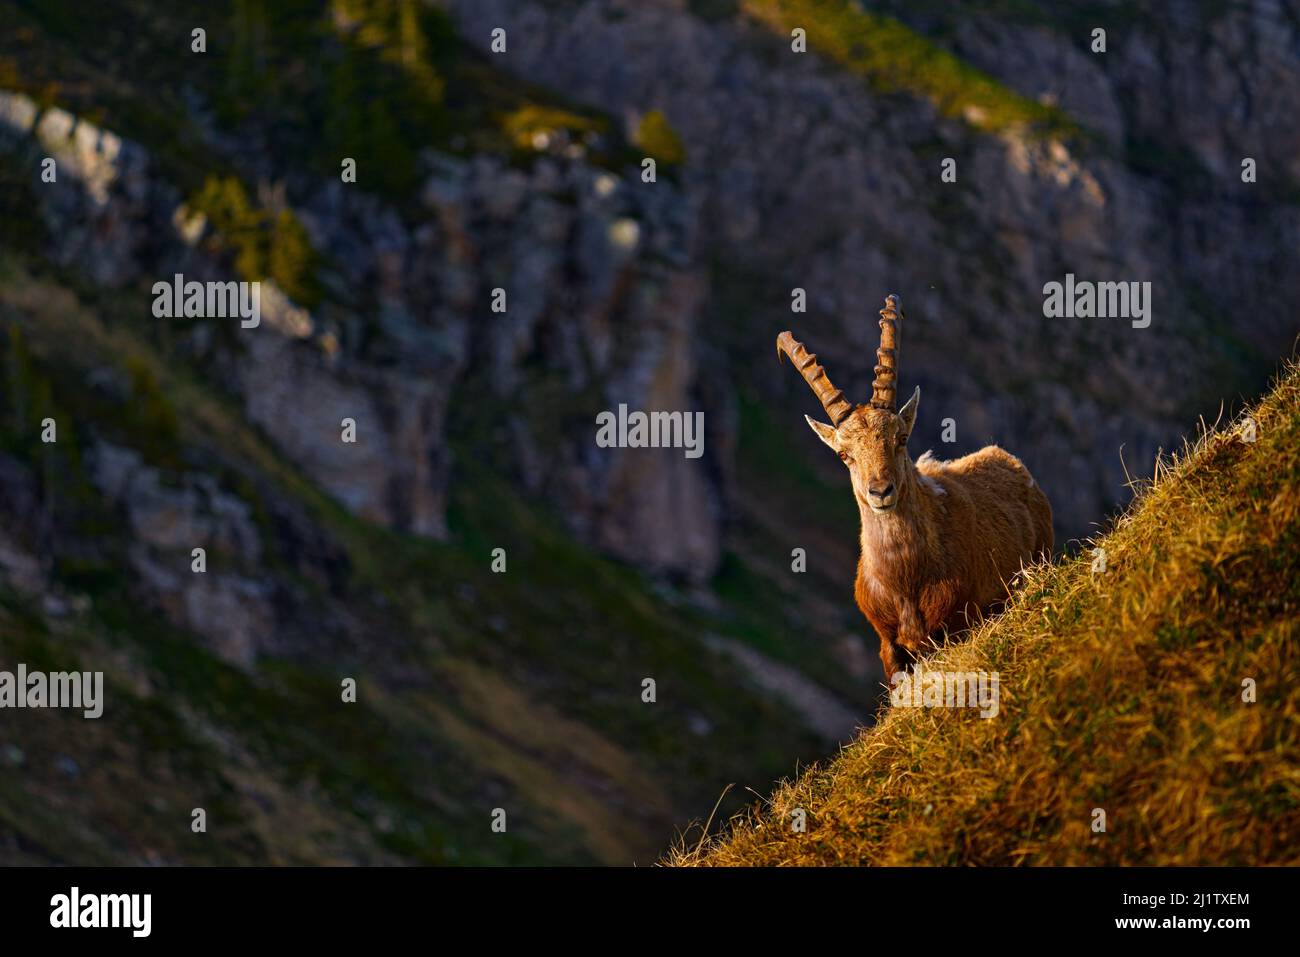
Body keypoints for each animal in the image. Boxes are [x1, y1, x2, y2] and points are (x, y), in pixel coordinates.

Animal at [777, 295, 1053, 683]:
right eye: (845, 454)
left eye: (901, 438)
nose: (880, 491)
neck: (904, 579)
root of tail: (1007, 458)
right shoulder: (890, 647)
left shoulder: (957, 629)